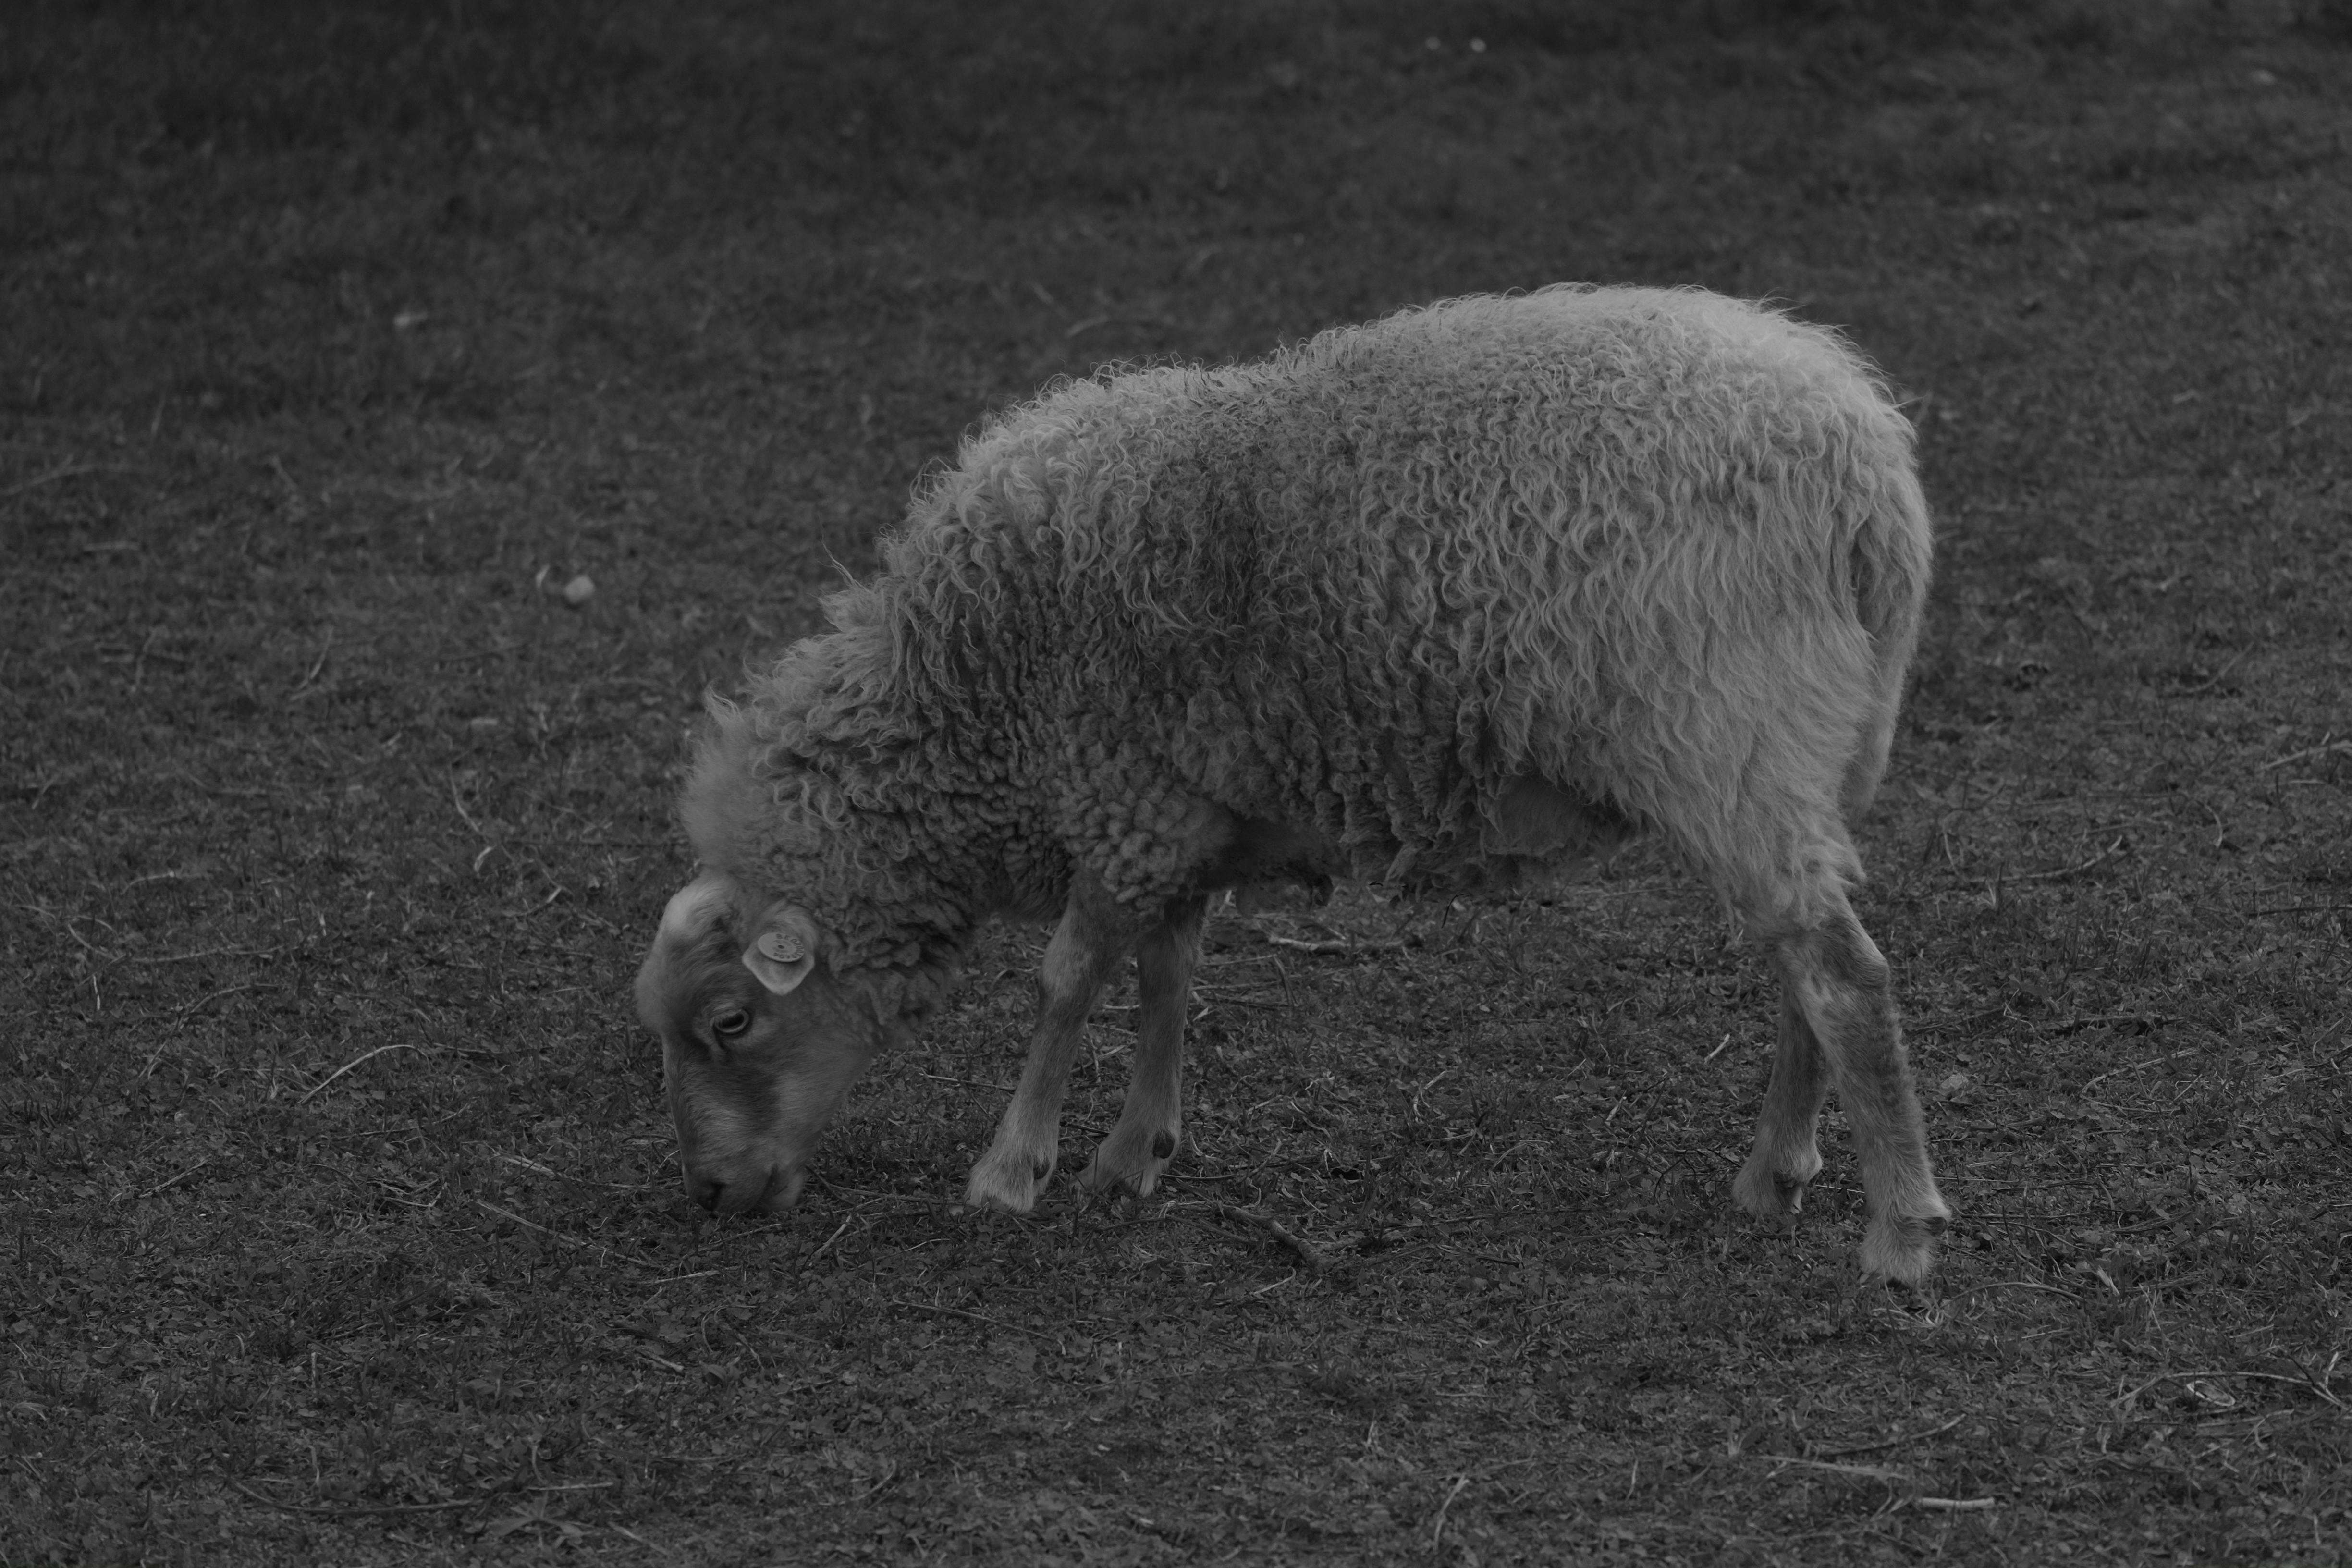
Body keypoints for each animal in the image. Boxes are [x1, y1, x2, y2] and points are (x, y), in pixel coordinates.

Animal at [636, 283, 1952, 1284]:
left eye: (731, 1020)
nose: (709, 1194)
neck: (971, 697)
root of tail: (1867, 469)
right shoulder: (1186, 809)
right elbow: (1167, 974)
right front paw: (1135, 1154)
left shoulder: (1122, 798)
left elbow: (1067, 980)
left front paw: (1011, 1169)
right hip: (1807, 753)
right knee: (1806, 966)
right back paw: (1776, 1174)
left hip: (1728, 737)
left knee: (1843, 980)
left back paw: (1901, 1235)